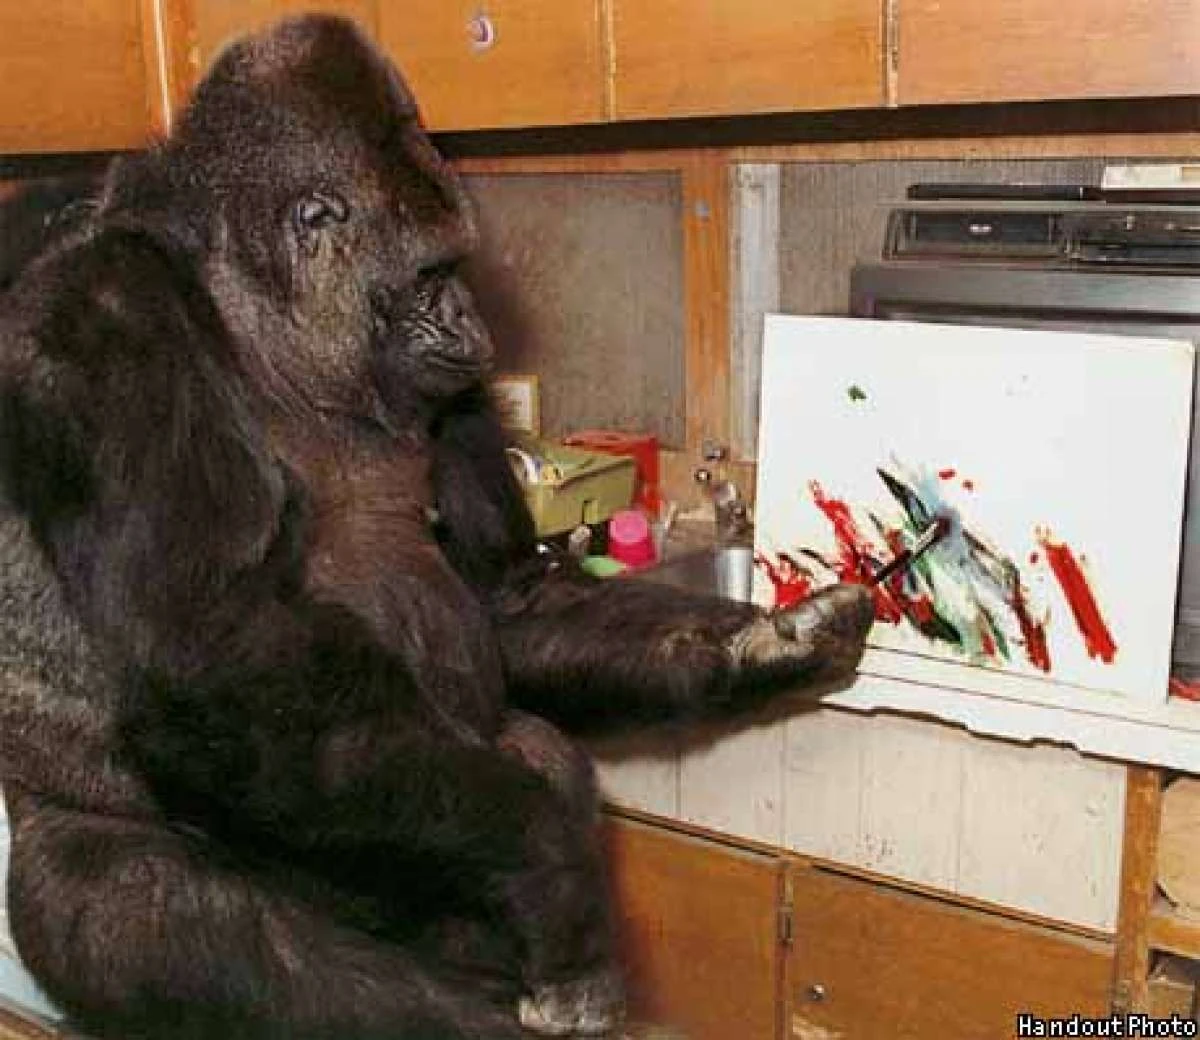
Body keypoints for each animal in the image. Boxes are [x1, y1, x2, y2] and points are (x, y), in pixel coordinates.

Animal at [0, 16, 875, 1039]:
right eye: (433, 273)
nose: (471, 317)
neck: (250, 314)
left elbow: (504, 601)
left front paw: (761, 650)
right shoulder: (106, 325)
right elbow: (213, 660)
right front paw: (553, 868)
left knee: (528, 753)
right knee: (154, 901)